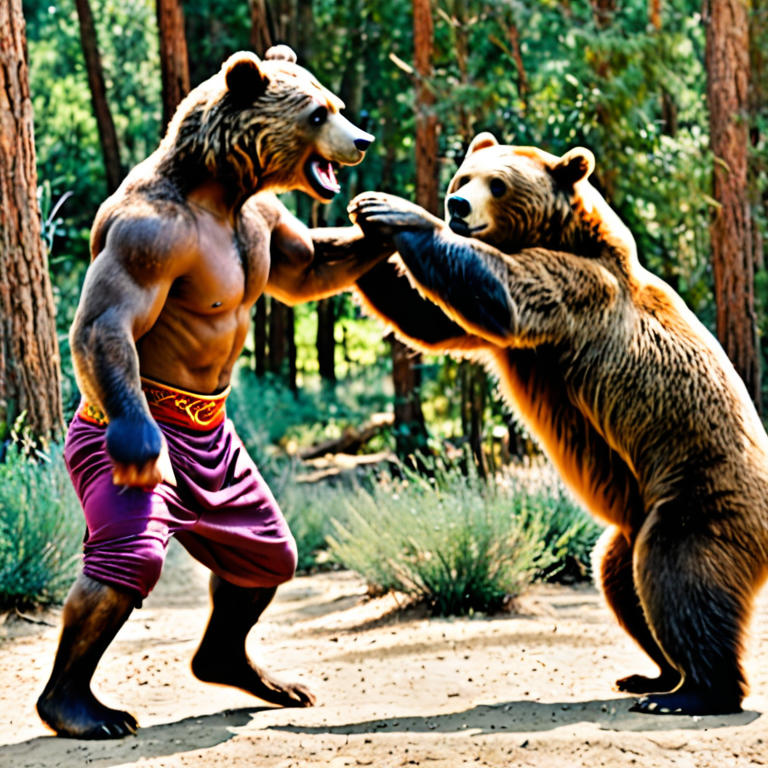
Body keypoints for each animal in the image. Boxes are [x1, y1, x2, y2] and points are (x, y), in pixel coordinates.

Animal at [37, 46, 385, 740]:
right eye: (318, 111)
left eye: (335, 104)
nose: (362, 138)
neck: (218, 190)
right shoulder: (148, 236)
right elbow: (109, 318)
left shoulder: (264, 222)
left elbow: (304, 266)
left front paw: (388, 220)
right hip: (115, 448)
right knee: (124, 559)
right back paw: (81, 708)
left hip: (224, 475)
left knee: (266, 554)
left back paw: (244, 669)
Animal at [337, 132, 768, 717]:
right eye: (464, 175)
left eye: (497, 184)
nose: (456, 205)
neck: (566, 235)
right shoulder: (522, 339)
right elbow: (425, 314)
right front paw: (350, 220)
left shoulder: (578, 296)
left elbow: (497, 291)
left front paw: (391, 209)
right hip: (635, 517)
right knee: (619, 579)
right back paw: (653, 675)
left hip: (701, 491)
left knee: (679, 576)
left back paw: (695, 690)